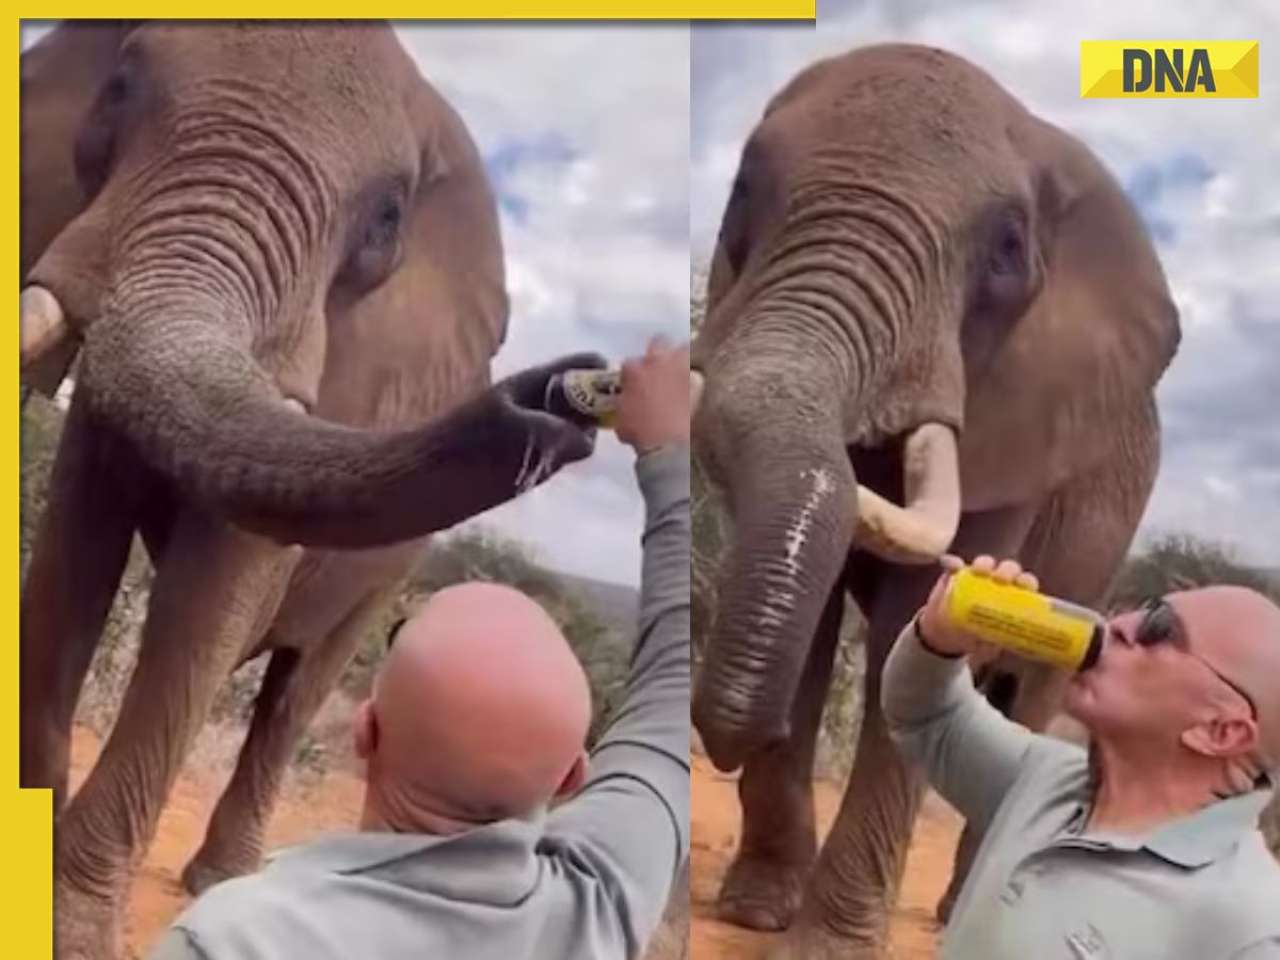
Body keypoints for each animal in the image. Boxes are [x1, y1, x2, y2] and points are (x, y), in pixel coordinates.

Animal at [19, 21, 601, 959]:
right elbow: (72, 559)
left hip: (393, 575)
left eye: (386, 219)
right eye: (118, 91)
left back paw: (221, 876)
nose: (562, 396)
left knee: (301, 686)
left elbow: (211, 597)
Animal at [690, 44, 1180, 959]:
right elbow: (813, 620)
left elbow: (904, 626)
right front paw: (756, 913)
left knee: (1033, 695)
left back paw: (964, 911)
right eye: (741, 194)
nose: (729, 739)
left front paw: (829, 945)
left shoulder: (1018, 426)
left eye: (1008, 248)